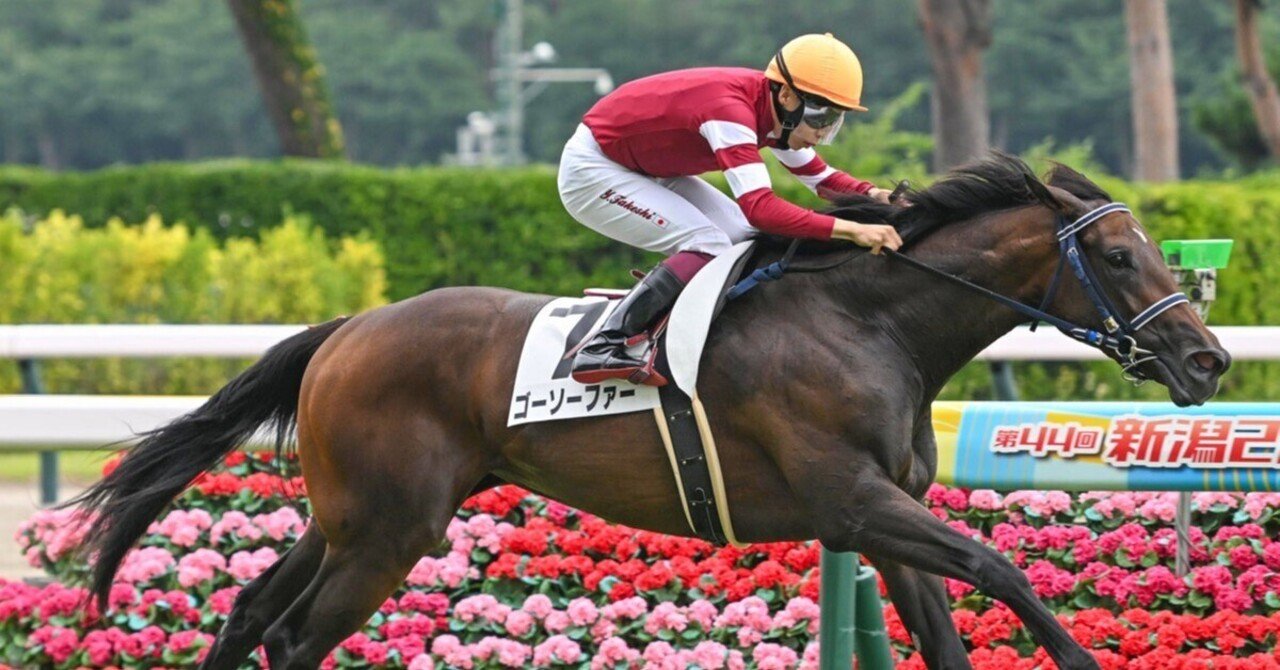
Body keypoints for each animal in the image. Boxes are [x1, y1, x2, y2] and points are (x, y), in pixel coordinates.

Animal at [68, 153, 1229, 670]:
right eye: (1117, 255)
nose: (1208, 358)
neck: (868, 325)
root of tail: (348, 328)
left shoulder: (879, 521)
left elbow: (950, 627)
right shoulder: (852, 503)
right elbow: (999, 566)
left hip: (354, 515)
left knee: (251, 614)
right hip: (392, 532)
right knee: (297, 637)